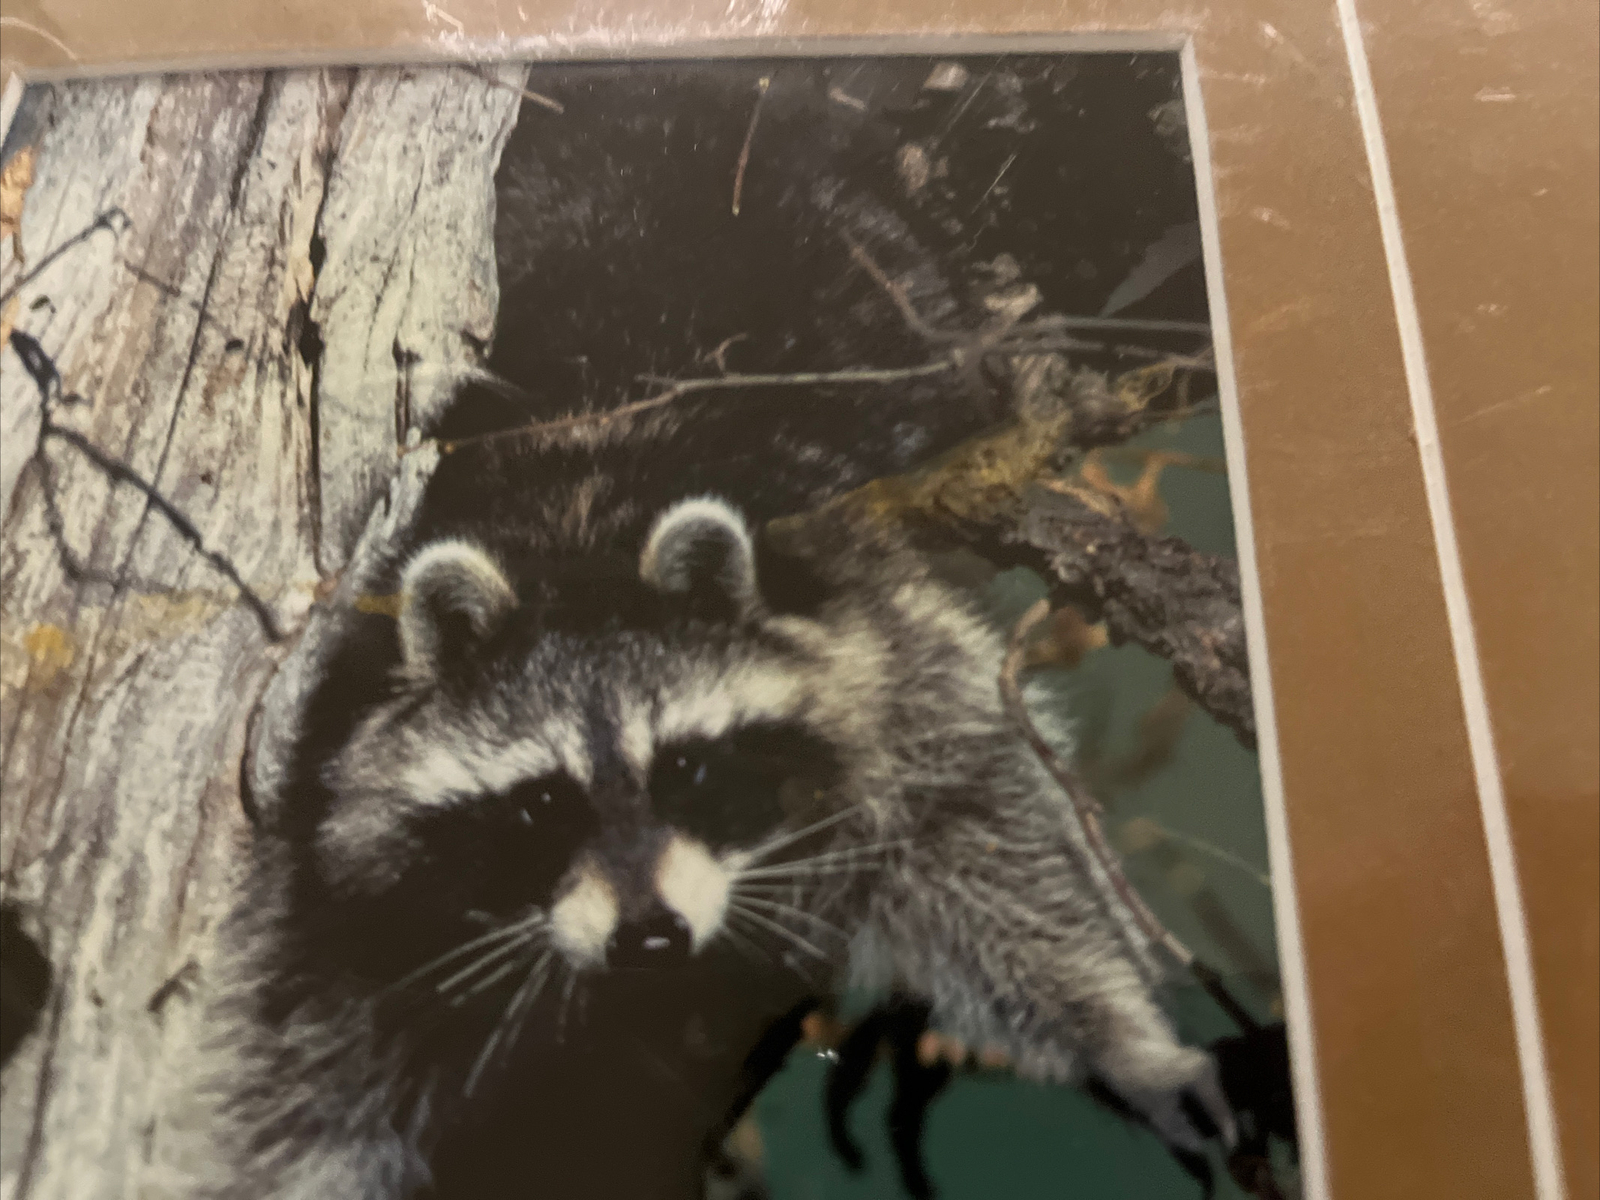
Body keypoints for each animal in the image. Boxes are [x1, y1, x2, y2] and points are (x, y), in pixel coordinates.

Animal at [186, 64, 1232, 1200]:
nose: (649, 940)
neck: (574, 544)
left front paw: (1124, 1037)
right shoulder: (342, 770)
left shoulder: (858, 615)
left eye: (685, 766)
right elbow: (311, 1033)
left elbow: (977, 815)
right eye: (538, 803)